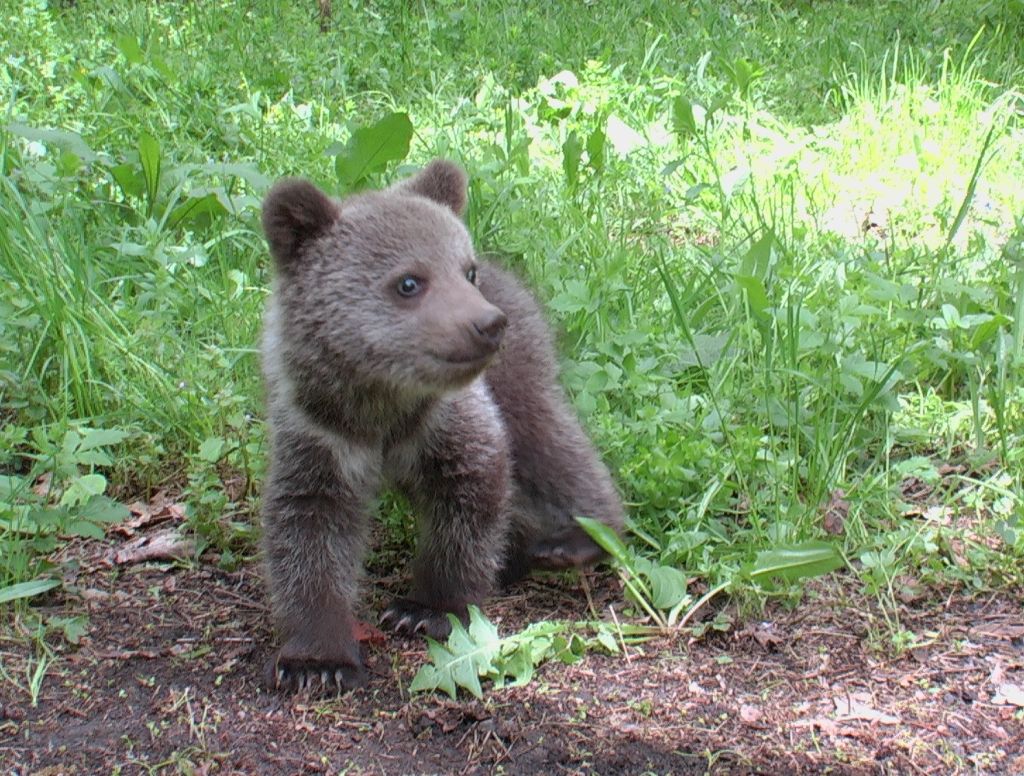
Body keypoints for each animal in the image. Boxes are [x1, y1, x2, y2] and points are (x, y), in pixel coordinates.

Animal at [259, 160, 625, 692]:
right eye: (409, 282)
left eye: (464, 270)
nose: (488, 323)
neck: (382, 405)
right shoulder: (318, 434)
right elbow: (308, 531)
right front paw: (317, 659)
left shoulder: (449, 422)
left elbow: (471, 499)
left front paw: (427, 608)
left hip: (521, 377)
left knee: (552, 445)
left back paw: (578, 537)